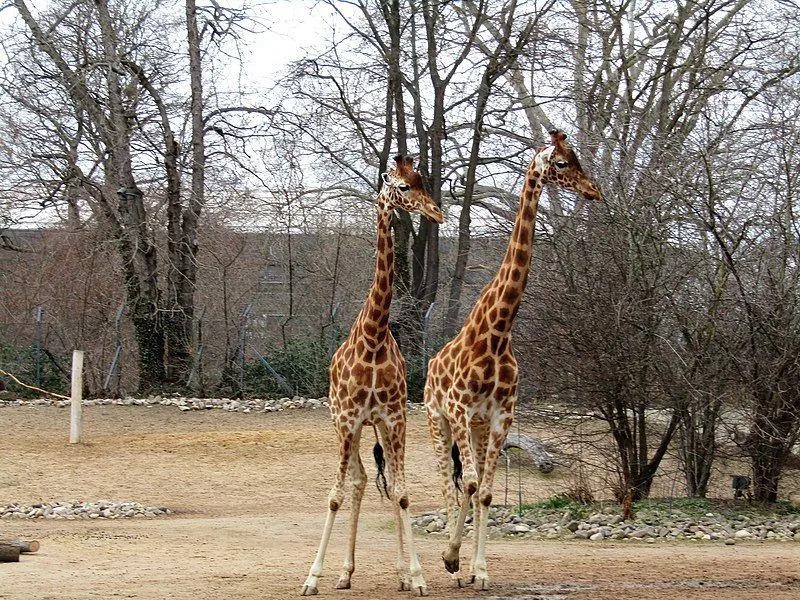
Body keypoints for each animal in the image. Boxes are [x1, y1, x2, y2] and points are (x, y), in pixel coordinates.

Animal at [300, 154, 444, 596]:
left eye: (422, 181)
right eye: (402, 186)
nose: (437, 212)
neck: (374, 337)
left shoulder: (394, 419)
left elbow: (401, 493)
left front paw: (415, 575)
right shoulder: (349, 420)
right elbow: (335, 494)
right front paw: (312, 577)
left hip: (378, 426)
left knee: (379, 481)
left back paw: (393, 574)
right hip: (343, 425)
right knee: (359, 481)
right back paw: (344, 573)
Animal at [424, 129, 600, 588]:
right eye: (562, 162)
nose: (593, 191)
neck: (497, 334)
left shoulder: (501, 416)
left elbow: (485, 491)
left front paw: (480, 571)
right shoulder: (459, 410)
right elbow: (467, 484)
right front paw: (452, 559)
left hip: (478, 429)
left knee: (468, 487)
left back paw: (465, 569)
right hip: (437, 419)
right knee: (446, 483)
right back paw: (450, 567)